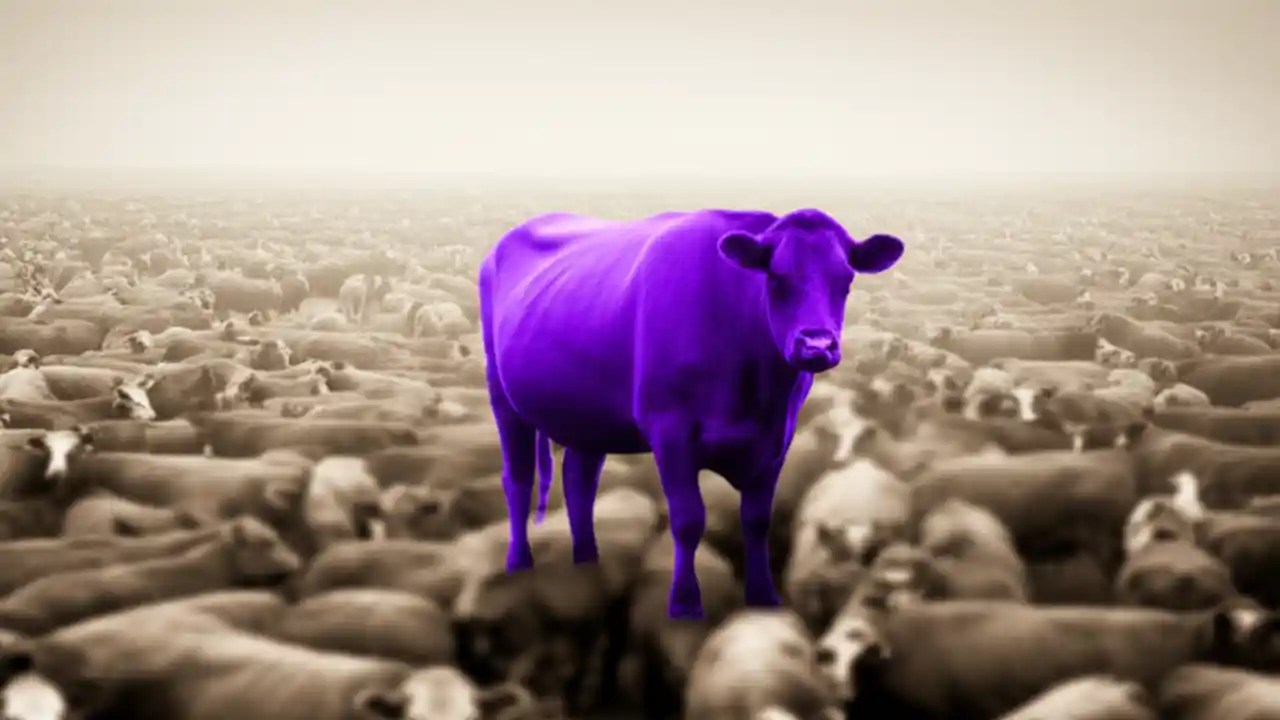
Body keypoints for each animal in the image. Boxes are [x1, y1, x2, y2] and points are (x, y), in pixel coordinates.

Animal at [480, 209, 903, 618]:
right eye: (775, 279)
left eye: (845, 279)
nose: (817, 345)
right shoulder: (670, 431)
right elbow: (688, 519)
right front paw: (684, 602)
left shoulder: (776, 438)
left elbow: (757, 520)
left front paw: (762, 595)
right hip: (502, 397)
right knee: (517, 479)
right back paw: (519, 562)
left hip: (587, 415)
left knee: (579, 483)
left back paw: (587, 561)